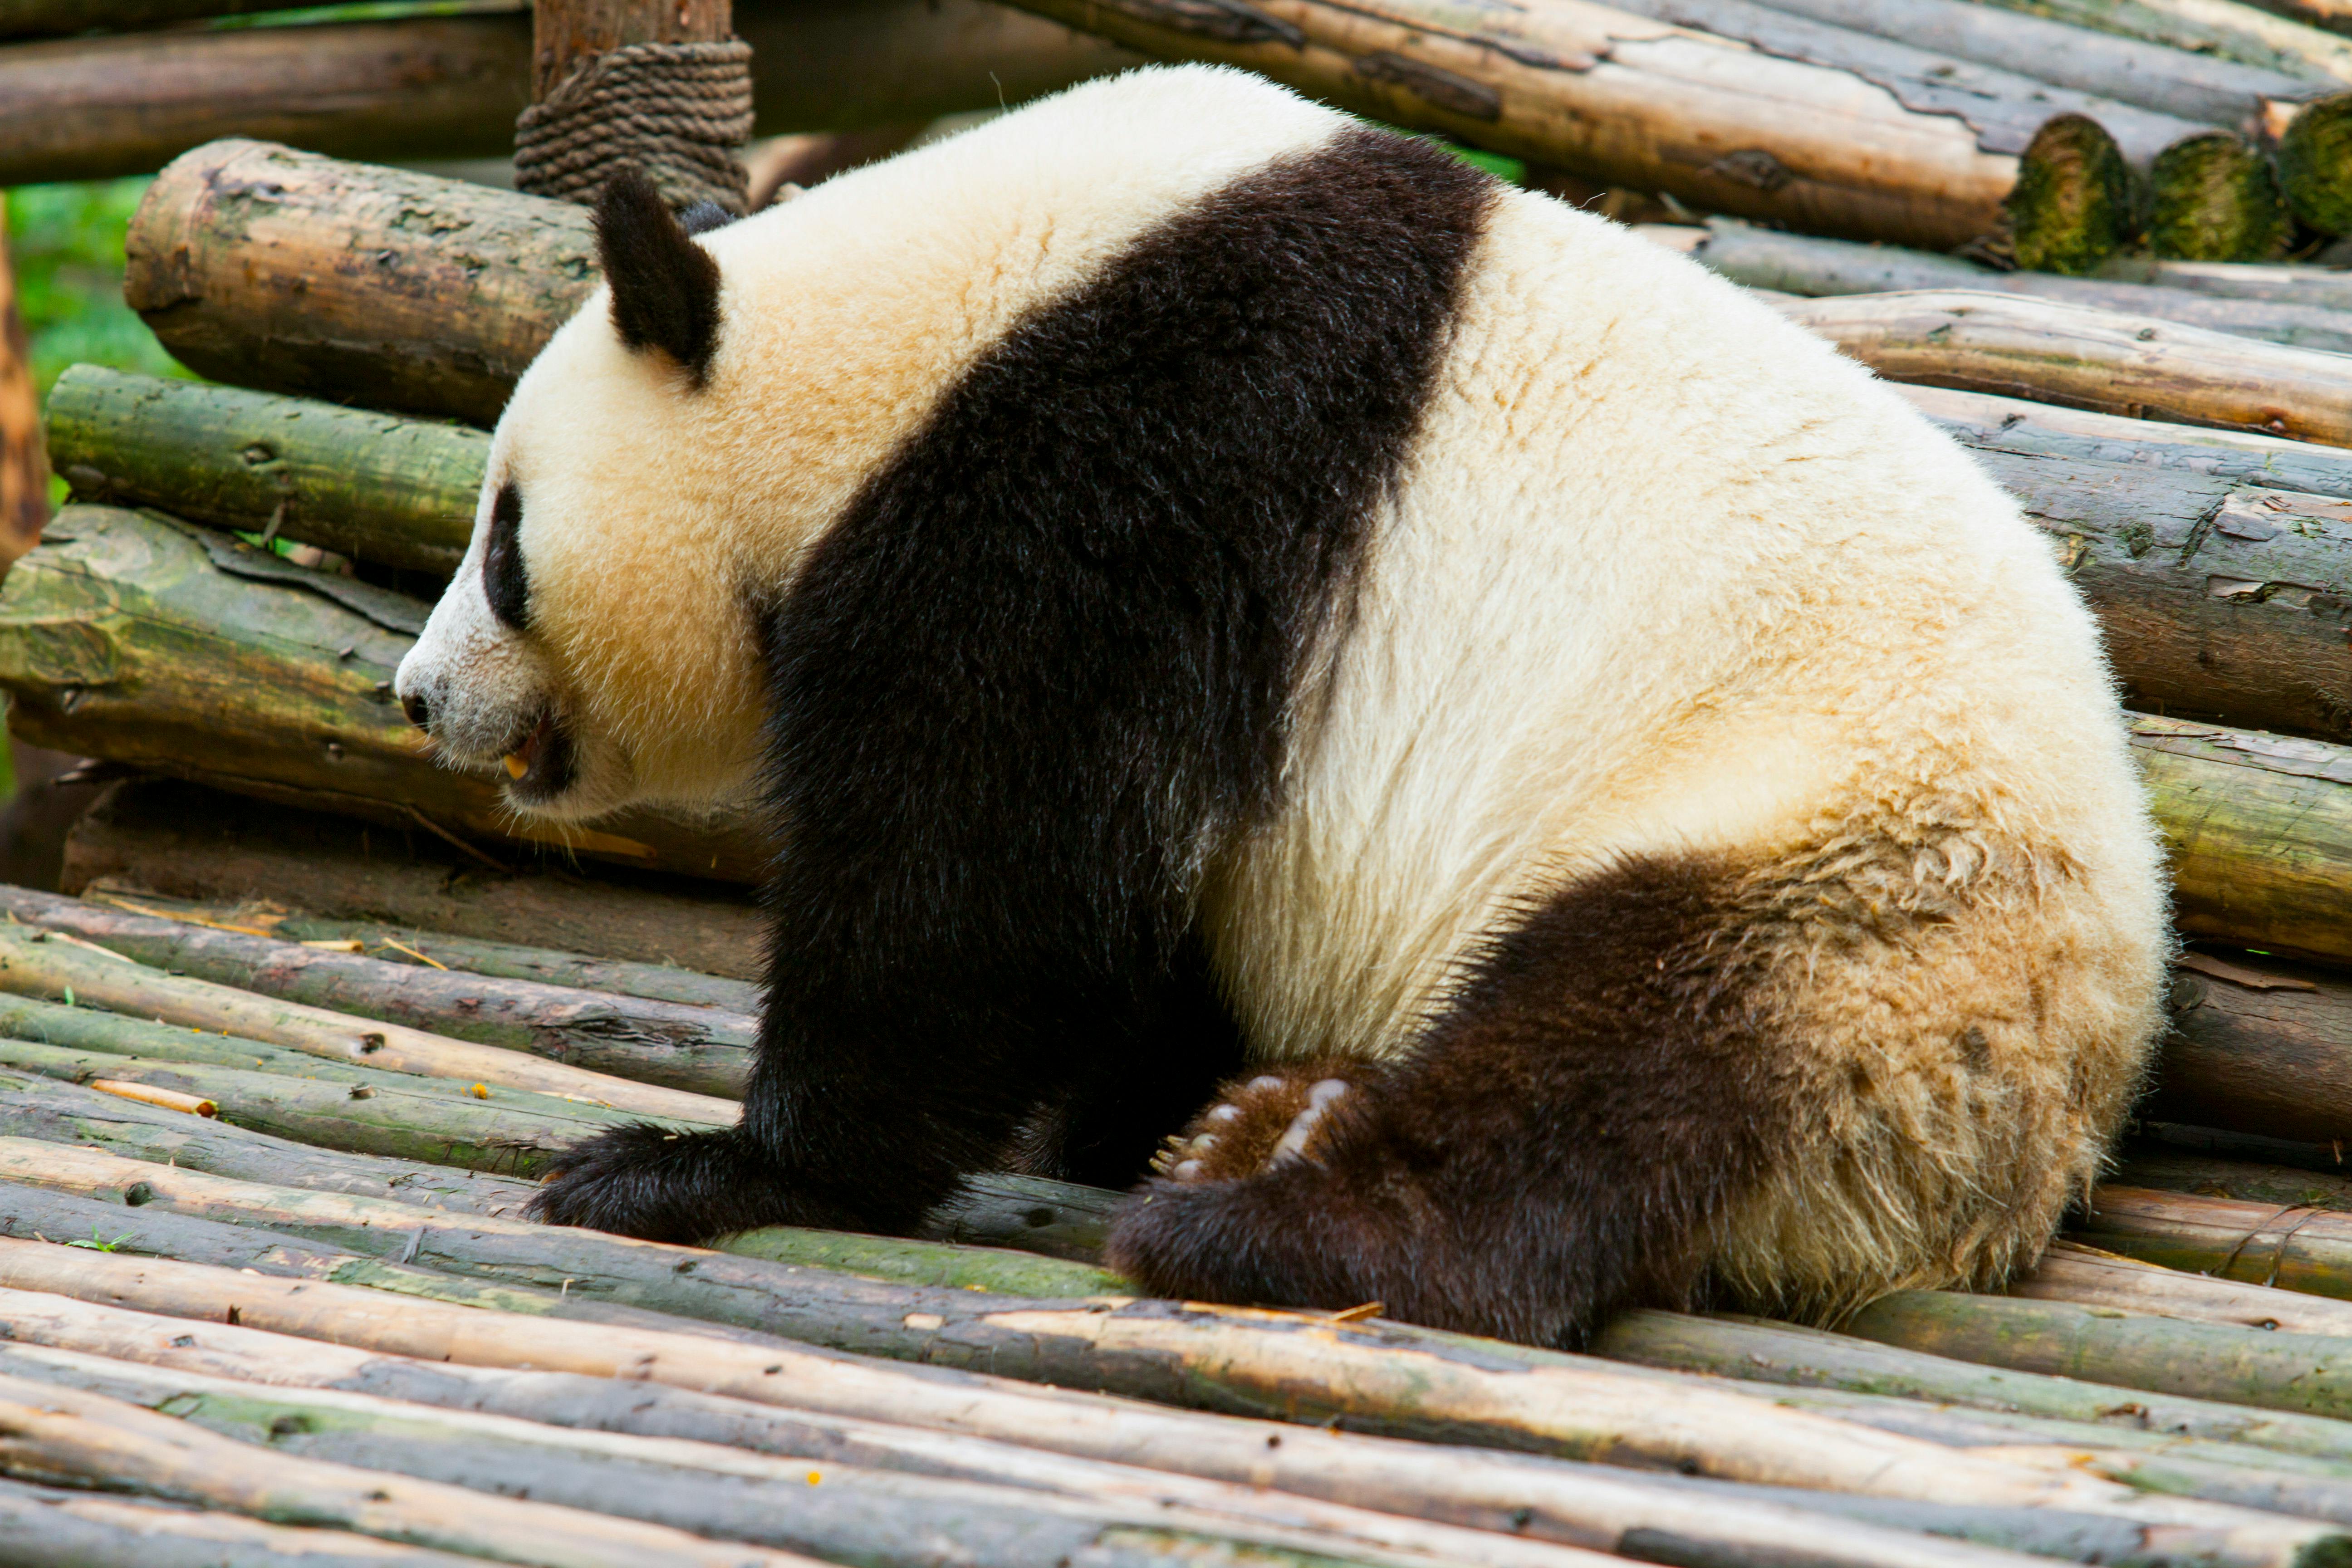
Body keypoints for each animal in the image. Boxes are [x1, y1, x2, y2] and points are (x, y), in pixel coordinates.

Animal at [394, 64, 2169, 1348]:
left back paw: (1272, 1214)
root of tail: (2014, 1163)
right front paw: (1120, 1107)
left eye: (505, 540)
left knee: (1621, 1046)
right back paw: (1252, 1121)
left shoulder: (1115, 465)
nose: (416, 698)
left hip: (1859, 877)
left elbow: (984, 875)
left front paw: (711, 1165)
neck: (923, 320)